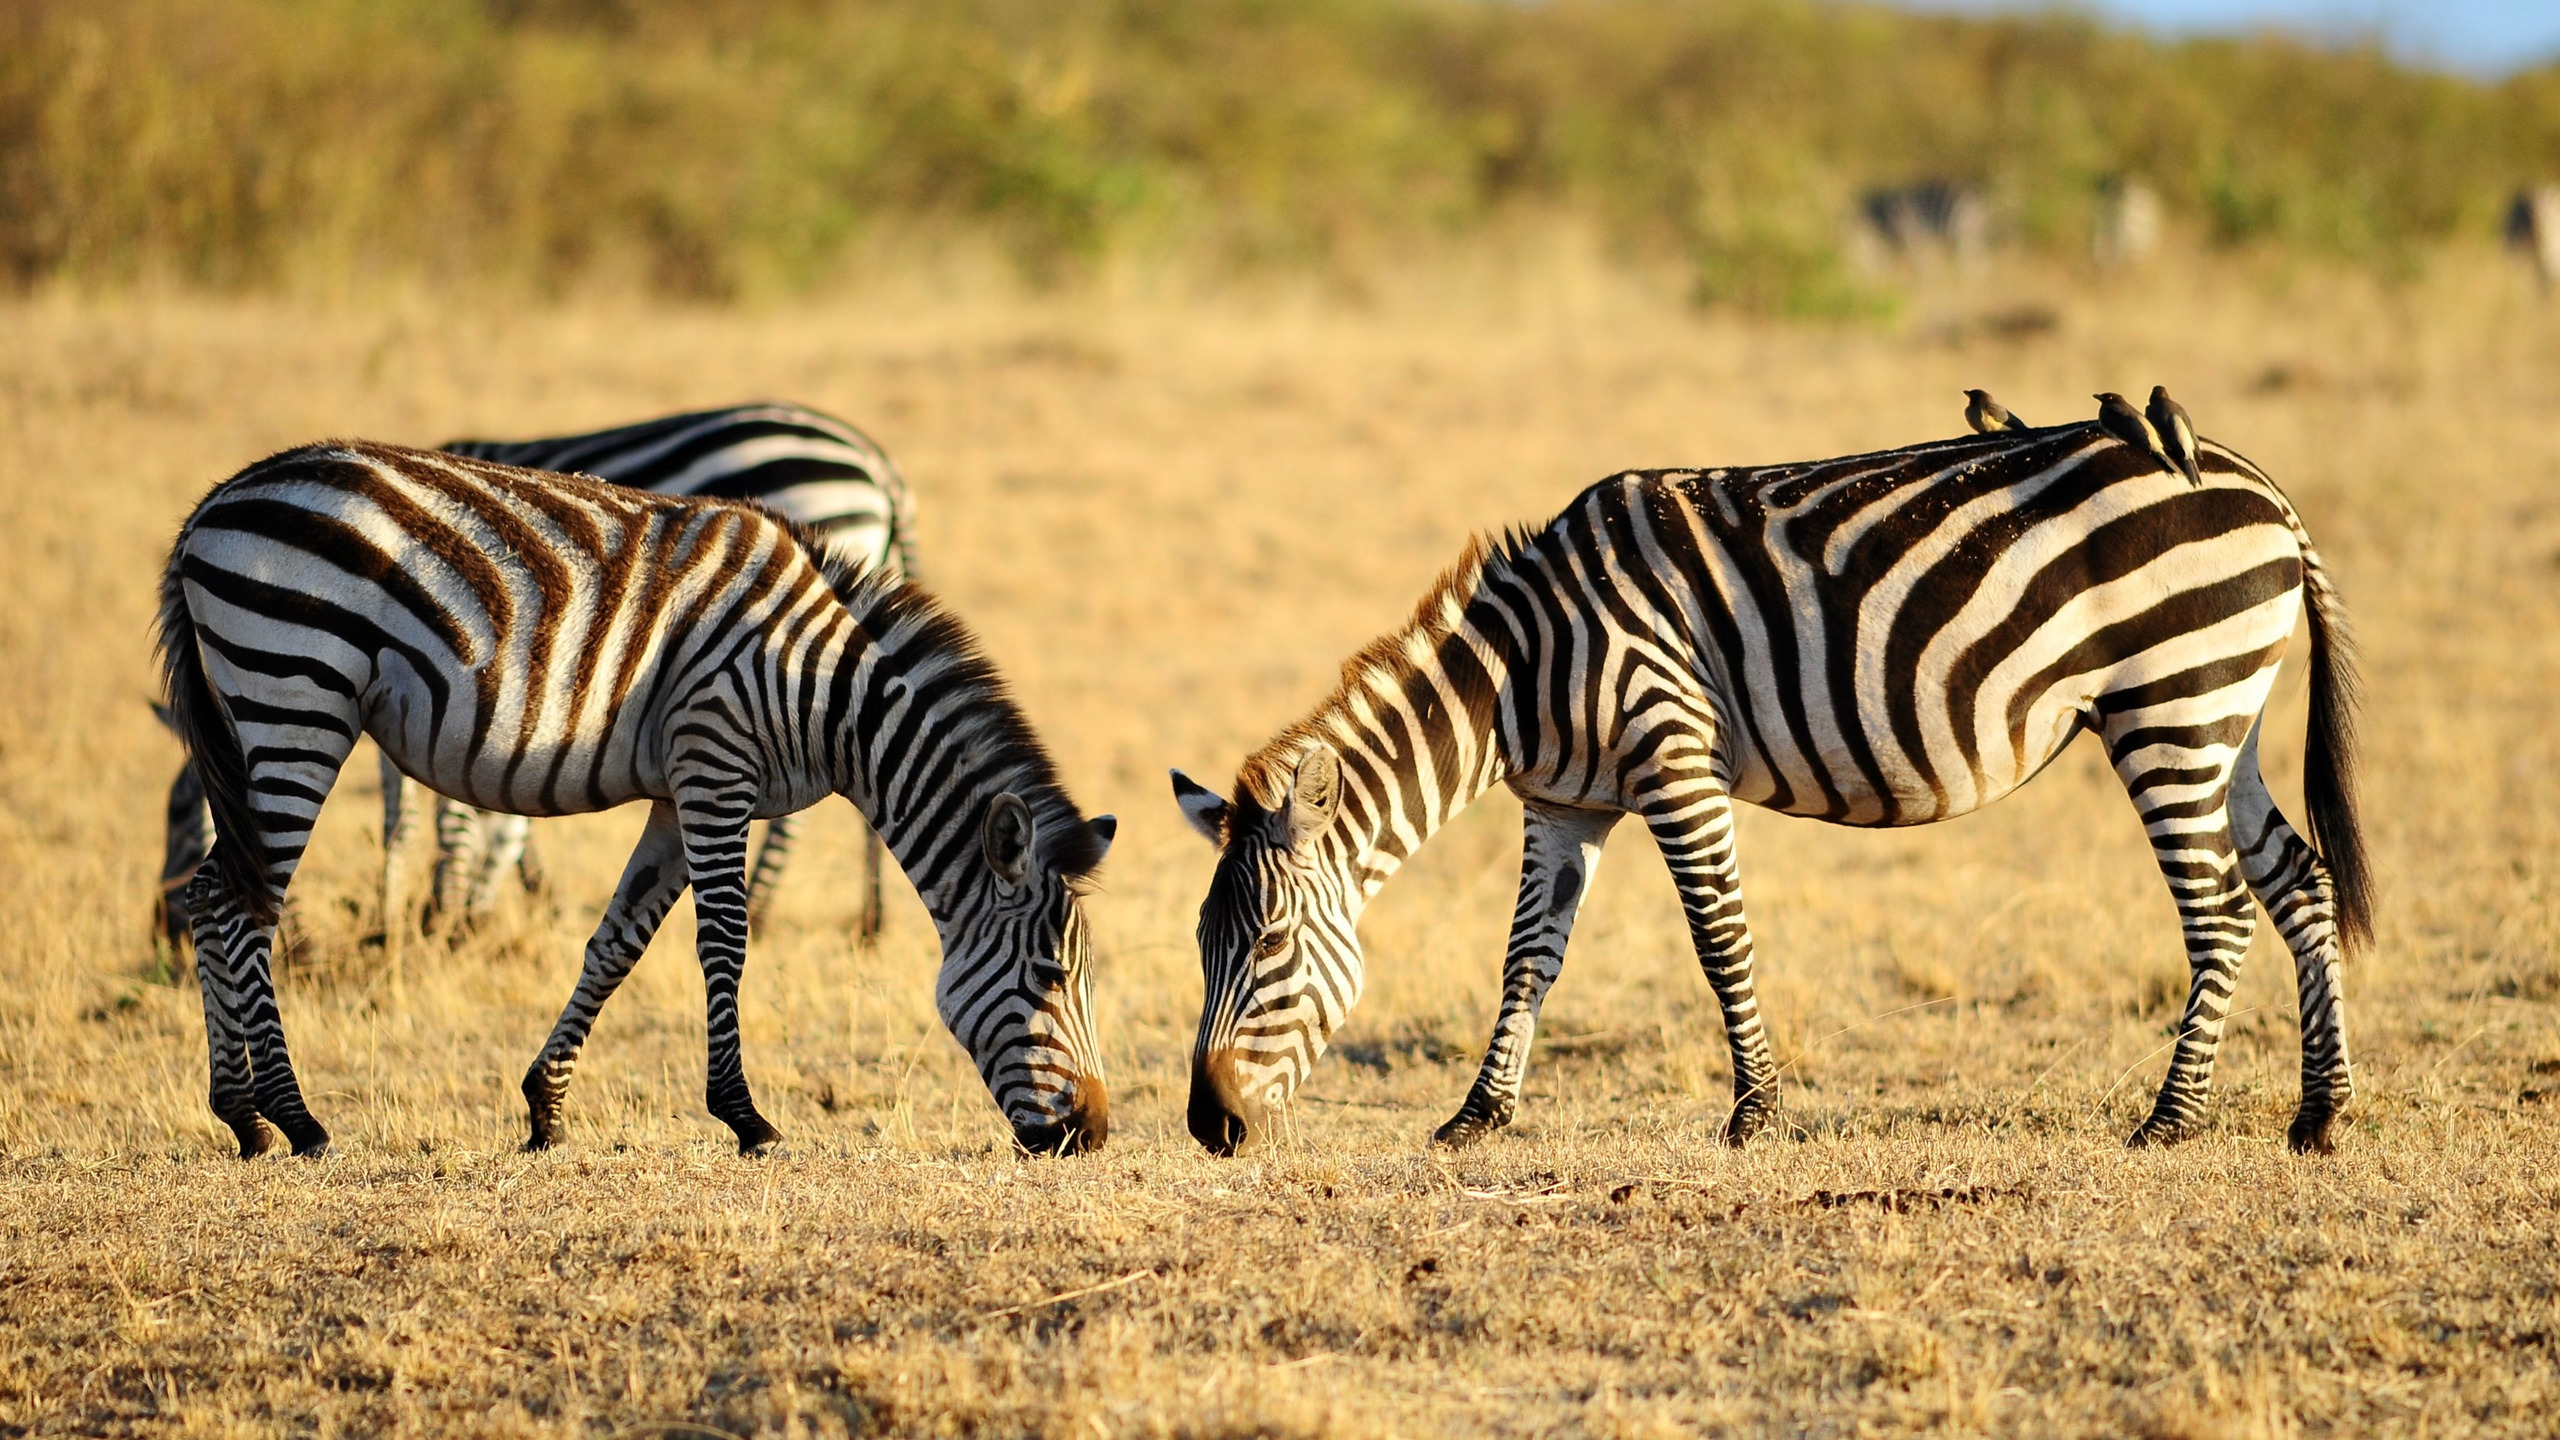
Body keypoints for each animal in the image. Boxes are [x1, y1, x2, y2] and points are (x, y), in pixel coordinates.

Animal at [151, 402, 916, 953]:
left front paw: (424, 912)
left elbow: (414, 811)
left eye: (177, 819)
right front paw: (496, 896)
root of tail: (878, 463)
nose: (163, 939)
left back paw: (765, 901)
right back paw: (872, 920)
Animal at [1171, 404, 2370, 1158]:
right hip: (2224, 718)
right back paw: (2319, 1115)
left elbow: (1718, 940)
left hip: (2169, 704)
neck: (1524, 668)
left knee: (2219, 911)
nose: (1207, 1128)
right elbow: (1527, 959)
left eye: (1269, 947)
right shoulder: (1567, 803)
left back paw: (2170, 1121)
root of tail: (2264, 490)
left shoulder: (1672, 755)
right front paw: (1477, 1115)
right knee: (2300, 884)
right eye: (1200, 945)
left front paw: (1753, 1113)